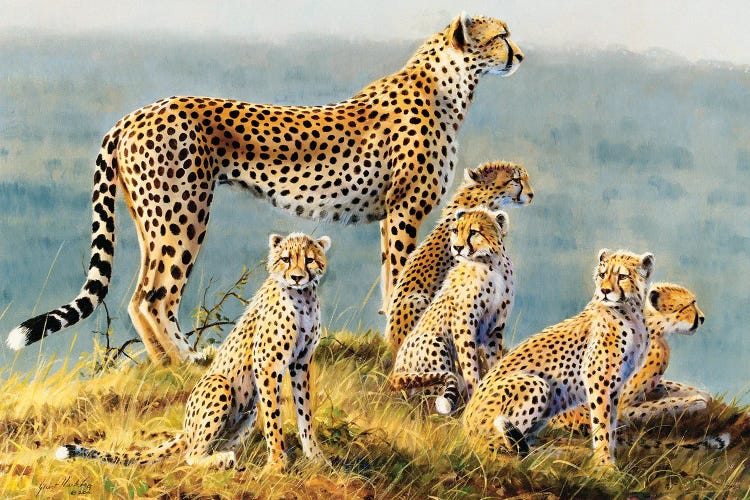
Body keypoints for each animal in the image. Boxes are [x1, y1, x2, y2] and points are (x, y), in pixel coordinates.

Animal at [56, 232, 331, 470]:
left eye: (309, 259)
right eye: (286, 258)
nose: (297, 277)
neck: (303, 298)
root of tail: (187, 430)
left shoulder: (301, 362)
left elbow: (304, 410)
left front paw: (315, 456)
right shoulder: (267, 364)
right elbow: (274, 416)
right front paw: (277, 463)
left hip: (249, 412)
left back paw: (224, 456)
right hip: (220, 384)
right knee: (192, 454)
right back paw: (222, 460)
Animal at [388, 207, 514, 415]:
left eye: (474, 232)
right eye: (456, 230)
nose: (457, 247)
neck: (491, 264)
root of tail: (395, 372)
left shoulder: (493, 329)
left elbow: (495, 363)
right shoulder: (463, 324)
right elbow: (470, 366)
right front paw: (474, 399)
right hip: (433, 342)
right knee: (430, 391)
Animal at [463, 248, 655, 468]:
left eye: (622, 276)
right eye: (602, 274)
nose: (605, 290)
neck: (630, 312)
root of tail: (464, 423)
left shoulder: (614, 387)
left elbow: (610, 424)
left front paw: (608, 459)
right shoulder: (599, 381)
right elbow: (602, 425)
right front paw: (605, 465)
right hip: (535, 383)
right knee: (489, 446)